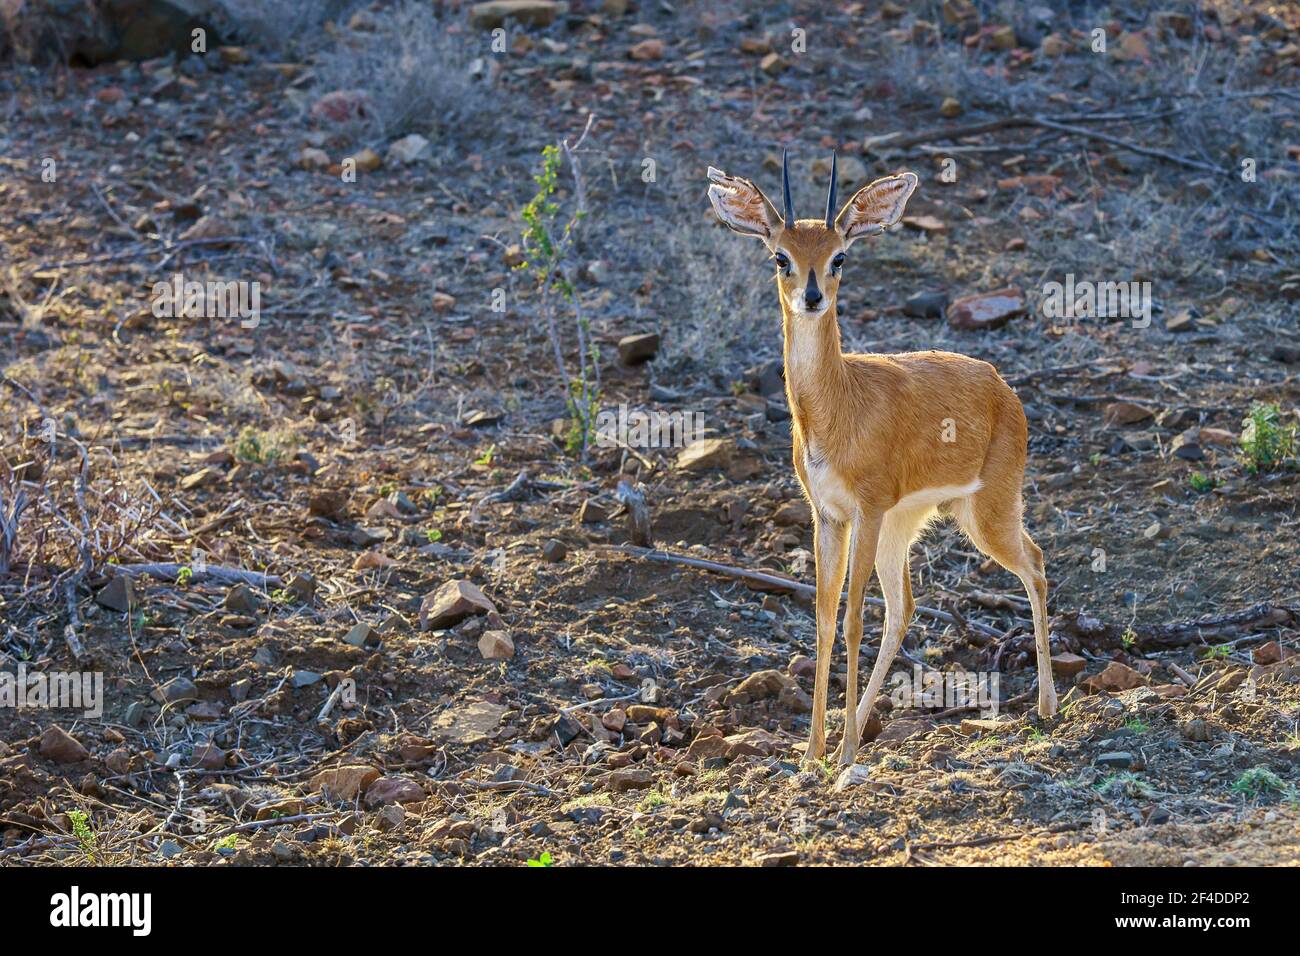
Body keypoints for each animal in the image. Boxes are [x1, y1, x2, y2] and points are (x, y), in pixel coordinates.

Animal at [706, 154, 1057, 768]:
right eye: (781, 256)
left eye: (839, 256)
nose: (813, 296)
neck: (837, 406)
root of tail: (1001, 385)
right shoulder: (828, 515)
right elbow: (824, 618)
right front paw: (813, 751)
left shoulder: (864, 511)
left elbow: (851, 619)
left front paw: (838, 750)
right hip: (905, 523)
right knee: (905, 608)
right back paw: (859, 730)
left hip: (984, 512)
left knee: (1035, 565)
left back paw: (1046, 708)